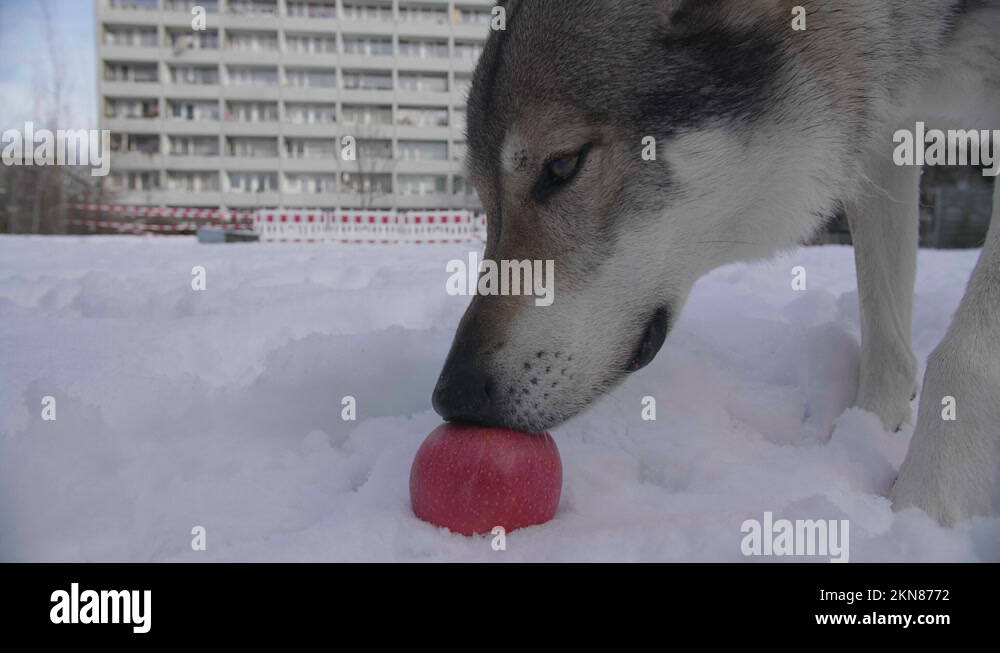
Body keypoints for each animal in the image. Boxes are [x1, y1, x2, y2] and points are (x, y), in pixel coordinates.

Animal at [432, 0, 1000, 526]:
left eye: (563, 165)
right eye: (484, 198)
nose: (452, 395)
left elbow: (962, 358)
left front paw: (923, 508)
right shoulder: (887, 136)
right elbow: (886, 345)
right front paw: (867, 438)